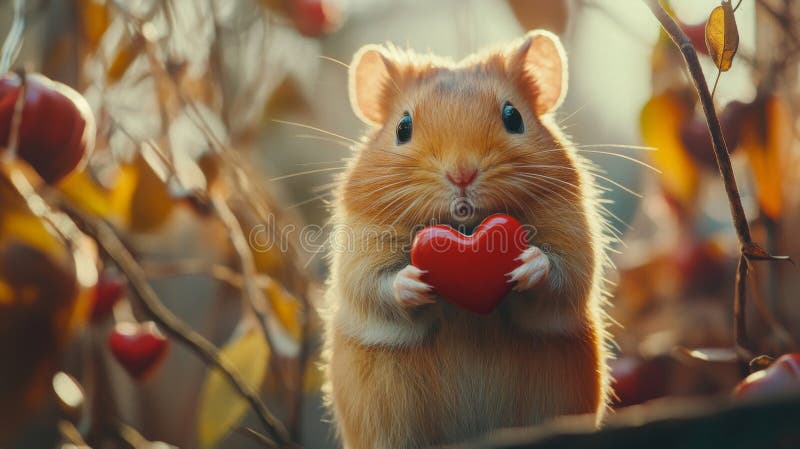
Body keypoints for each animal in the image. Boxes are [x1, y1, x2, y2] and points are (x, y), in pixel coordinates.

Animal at [321, 30, 612, 449]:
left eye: (513, 117)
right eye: (403, 127)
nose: (462, 174)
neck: (466, 228)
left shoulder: (573, 238)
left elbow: (561, 271)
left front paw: (526, 265)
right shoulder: (360, 253)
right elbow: (378, 285)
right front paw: (415, 281)